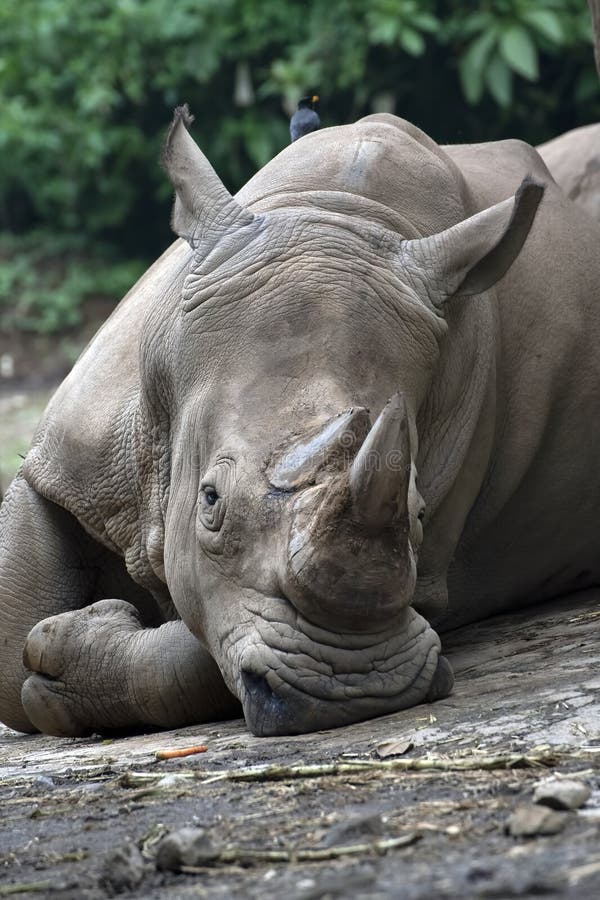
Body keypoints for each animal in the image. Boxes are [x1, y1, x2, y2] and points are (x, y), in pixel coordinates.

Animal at [1, 108, 599, 739]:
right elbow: (13, 645)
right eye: (210, 499)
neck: (337, 211)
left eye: (420, 514)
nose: (354, 687)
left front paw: (76, 649)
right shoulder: (62, 460)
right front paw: (61, 660)